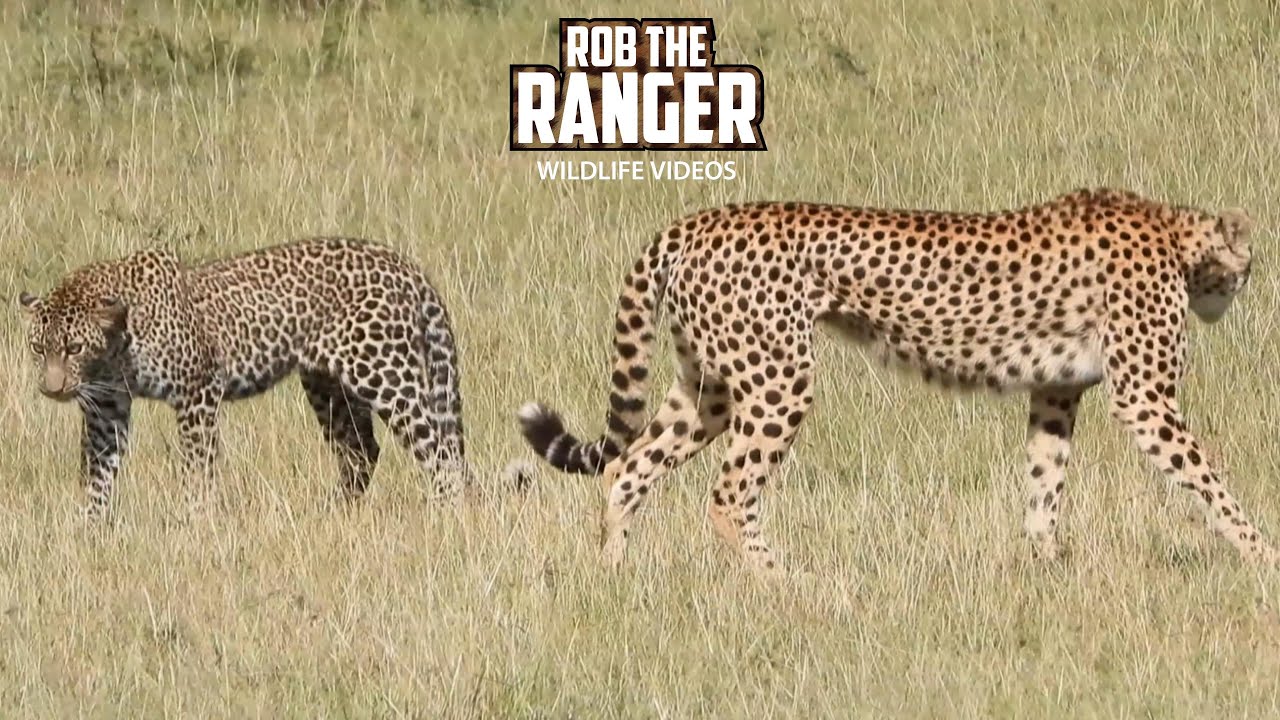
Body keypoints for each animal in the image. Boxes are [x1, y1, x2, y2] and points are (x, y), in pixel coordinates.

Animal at [19, 236, 475, 516]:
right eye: (39, 348)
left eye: (74, 348)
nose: (51, 389)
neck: (115, 348)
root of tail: (403, 264)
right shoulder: (106, 408)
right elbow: (97, 471)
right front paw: (90, 526)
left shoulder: (198, 392)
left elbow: (197, 466)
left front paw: (197, 521)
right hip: (326, 385)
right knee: (361, 449)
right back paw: (332, 513)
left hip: (385, 373)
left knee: (441, 452)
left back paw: (446, 517)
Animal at [518, 187, 1272, 575]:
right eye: (1247, 268)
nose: (1237, 294)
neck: (1175, 234)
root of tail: (693, 221)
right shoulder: (1145, 399)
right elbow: (1211, 483)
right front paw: (1265, 555)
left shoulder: (1054, 394)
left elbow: (1044, 483)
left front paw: (1044, 568)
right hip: (778, 381)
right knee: (729, 495)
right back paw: (790, 586)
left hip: (712, 384)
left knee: (631, 465)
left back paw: (615, 576)